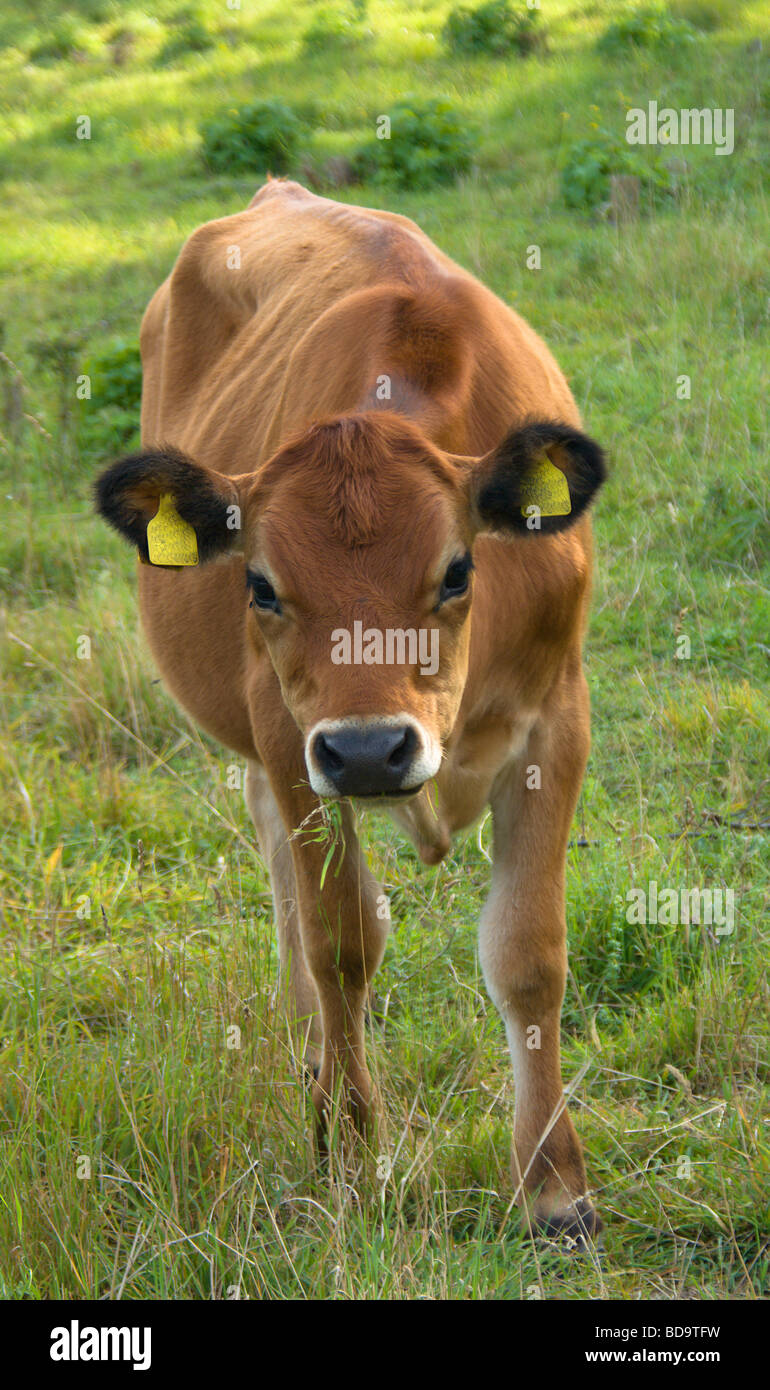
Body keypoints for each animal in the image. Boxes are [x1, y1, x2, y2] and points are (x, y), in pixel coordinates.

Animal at [95, 179, 606, 1242]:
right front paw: (351, 1151)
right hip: (272, 742)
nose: (371, 752)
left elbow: (528, 955)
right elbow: (344, 944)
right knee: (289, 881)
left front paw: (553, 1188)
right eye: (261, 585)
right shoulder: (295, 737)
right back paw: (310, 1045)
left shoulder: (558, 720)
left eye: (457, 571)